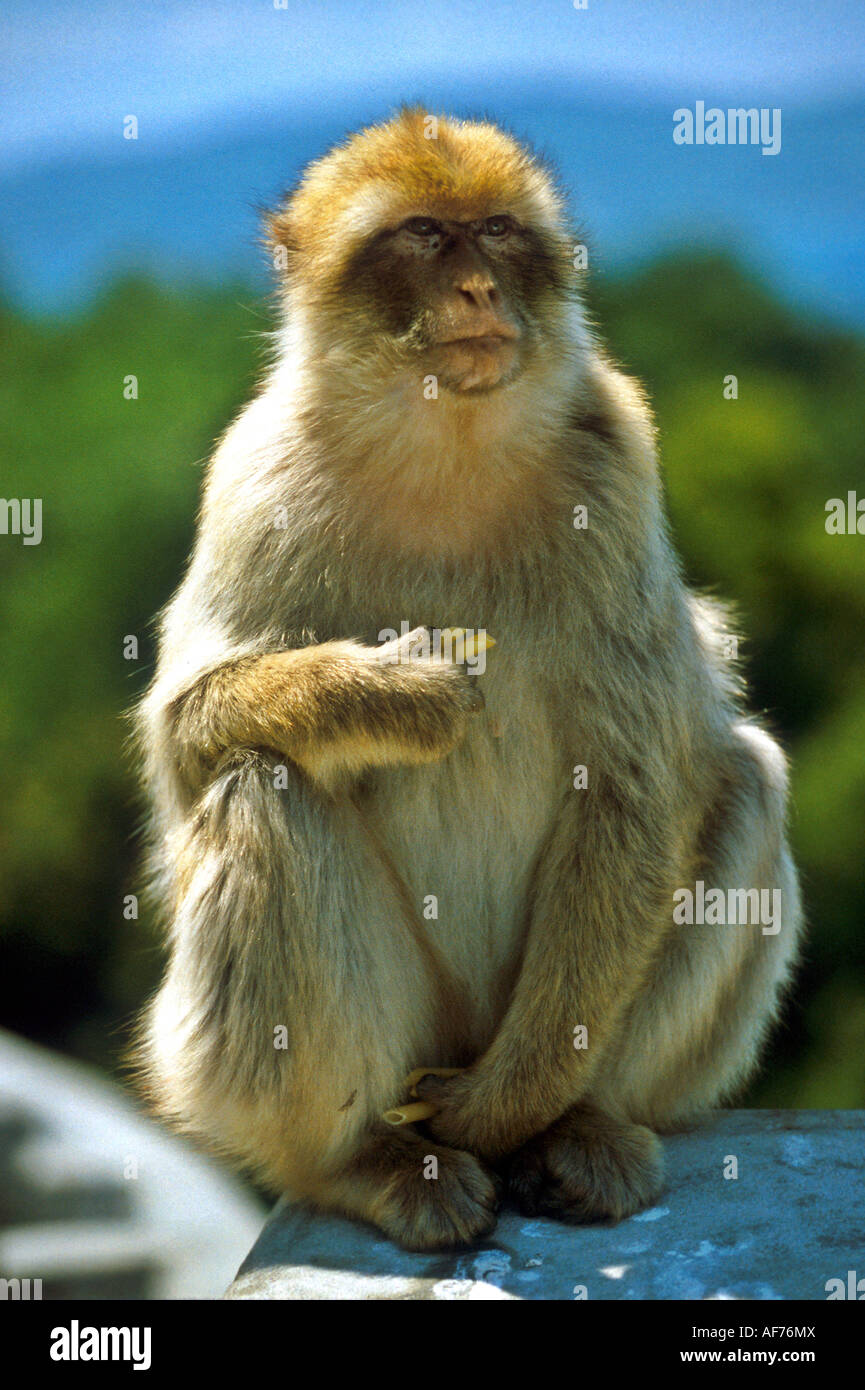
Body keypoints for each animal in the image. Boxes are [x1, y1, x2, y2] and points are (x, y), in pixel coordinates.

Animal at [133, 107, 802, 1252]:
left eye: (495, 230)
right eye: (420, 235)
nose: (481, 289)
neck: (444, 436)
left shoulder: (614, 462)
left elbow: (629, 784)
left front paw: (506, 1105)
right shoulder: (253, 473)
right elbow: (182, 734)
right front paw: (392, 693)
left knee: (744, 777)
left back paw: (572, 1124)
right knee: (263, 785)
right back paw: (358, 1162)